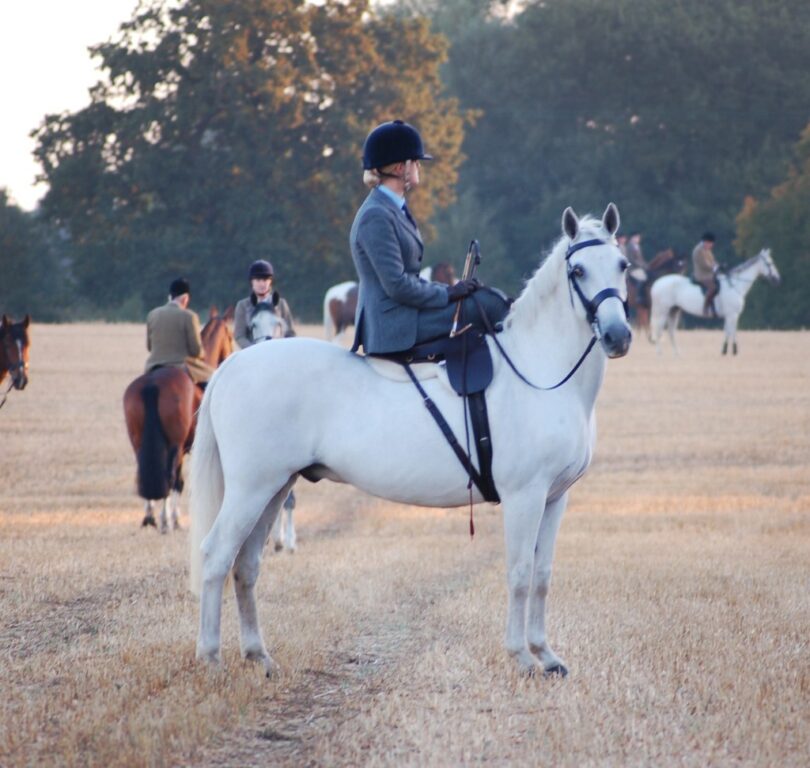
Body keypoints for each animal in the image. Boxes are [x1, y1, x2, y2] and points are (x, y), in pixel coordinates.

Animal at [123, 310, 234, 531]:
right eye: (230, 335)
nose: (231, 354)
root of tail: (153, 383)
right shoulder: (182, 448)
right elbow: (179, 482)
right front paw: (174, 518)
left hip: (137, 441)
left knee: (144, 473)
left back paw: (149, 517)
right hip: (175, 444)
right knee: (171, 476)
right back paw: (167, 520)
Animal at [650, 248, 780, 355]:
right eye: (770, 263)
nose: (777, 279)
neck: (735, 286)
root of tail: (657, 284)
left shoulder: (731, 315)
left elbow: (728, 331)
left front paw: (725, 350)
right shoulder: (732, 315)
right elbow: (732, 331)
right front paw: (733, 351)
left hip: (674, 311)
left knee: (671, 332)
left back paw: (677, 354)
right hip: (663, 312)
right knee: (658, 331)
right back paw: (659, 353)